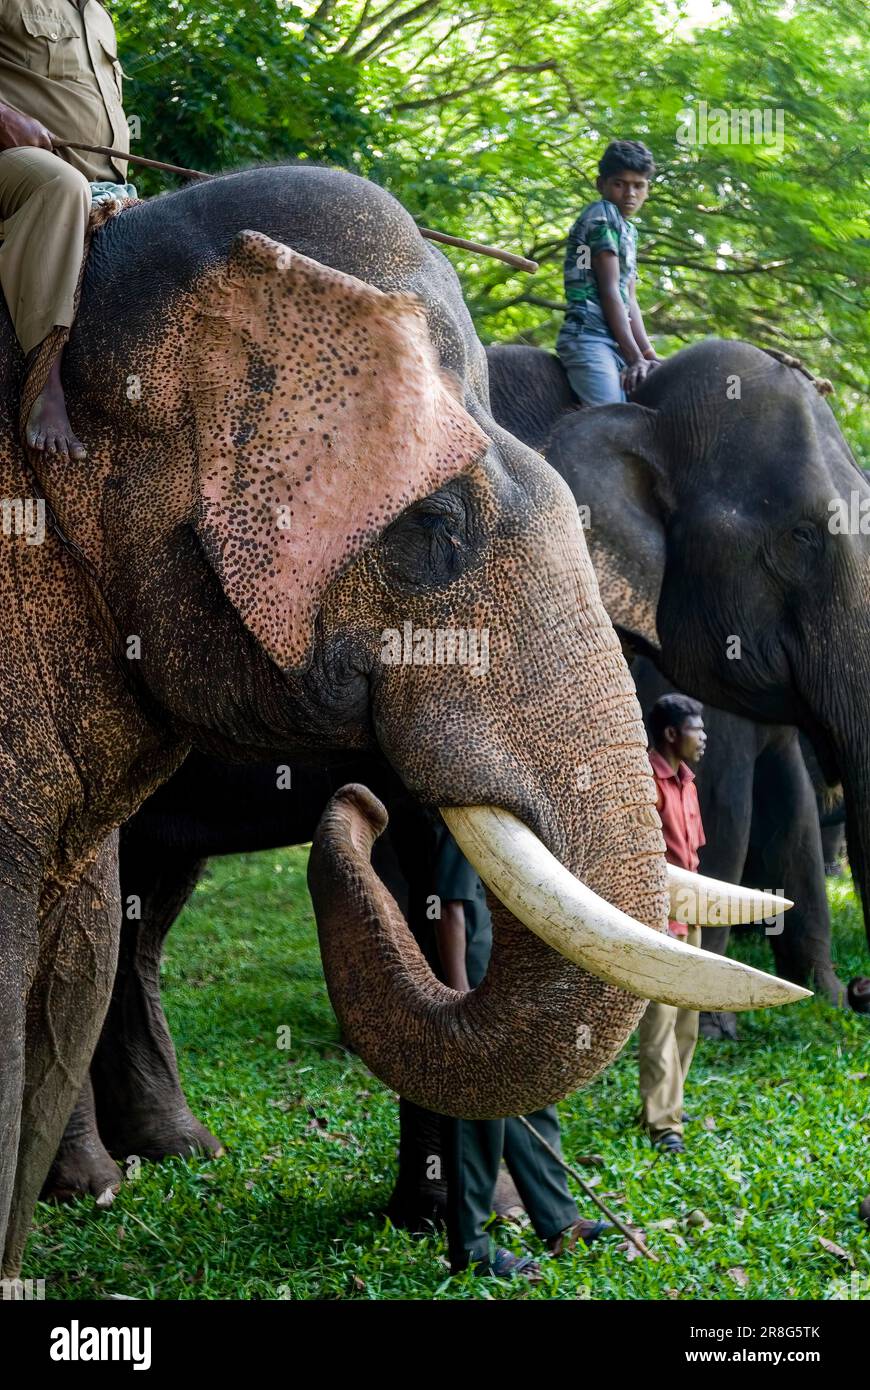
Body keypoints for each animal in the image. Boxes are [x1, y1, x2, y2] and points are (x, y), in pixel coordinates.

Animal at [486, 341, 870, 1006]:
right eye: (801, 536)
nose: (860, 989)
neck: (644, 409)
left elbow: (791, 809)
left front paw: (822, 995)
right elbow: (724, 807)